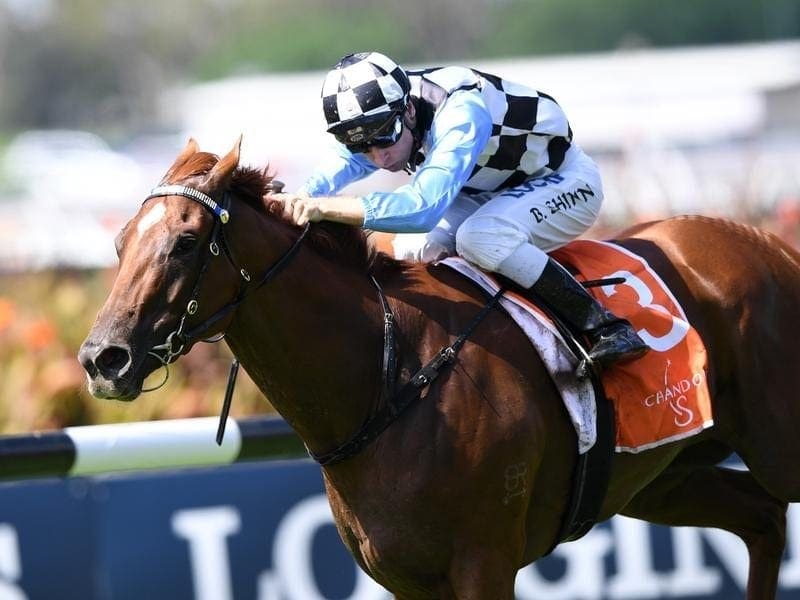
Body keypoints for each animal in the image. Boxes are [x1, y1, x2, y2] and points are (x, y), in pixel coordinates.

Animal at [79, 138, 800, 599]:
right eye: (119, 243)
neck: (390, 378)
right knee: (763, 521)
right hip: (659, 476)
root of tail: (767, 242)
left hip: (771, 443)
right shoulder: (406, 579)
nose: (102, 359)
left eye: (185, 242)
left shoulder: (484, 565)